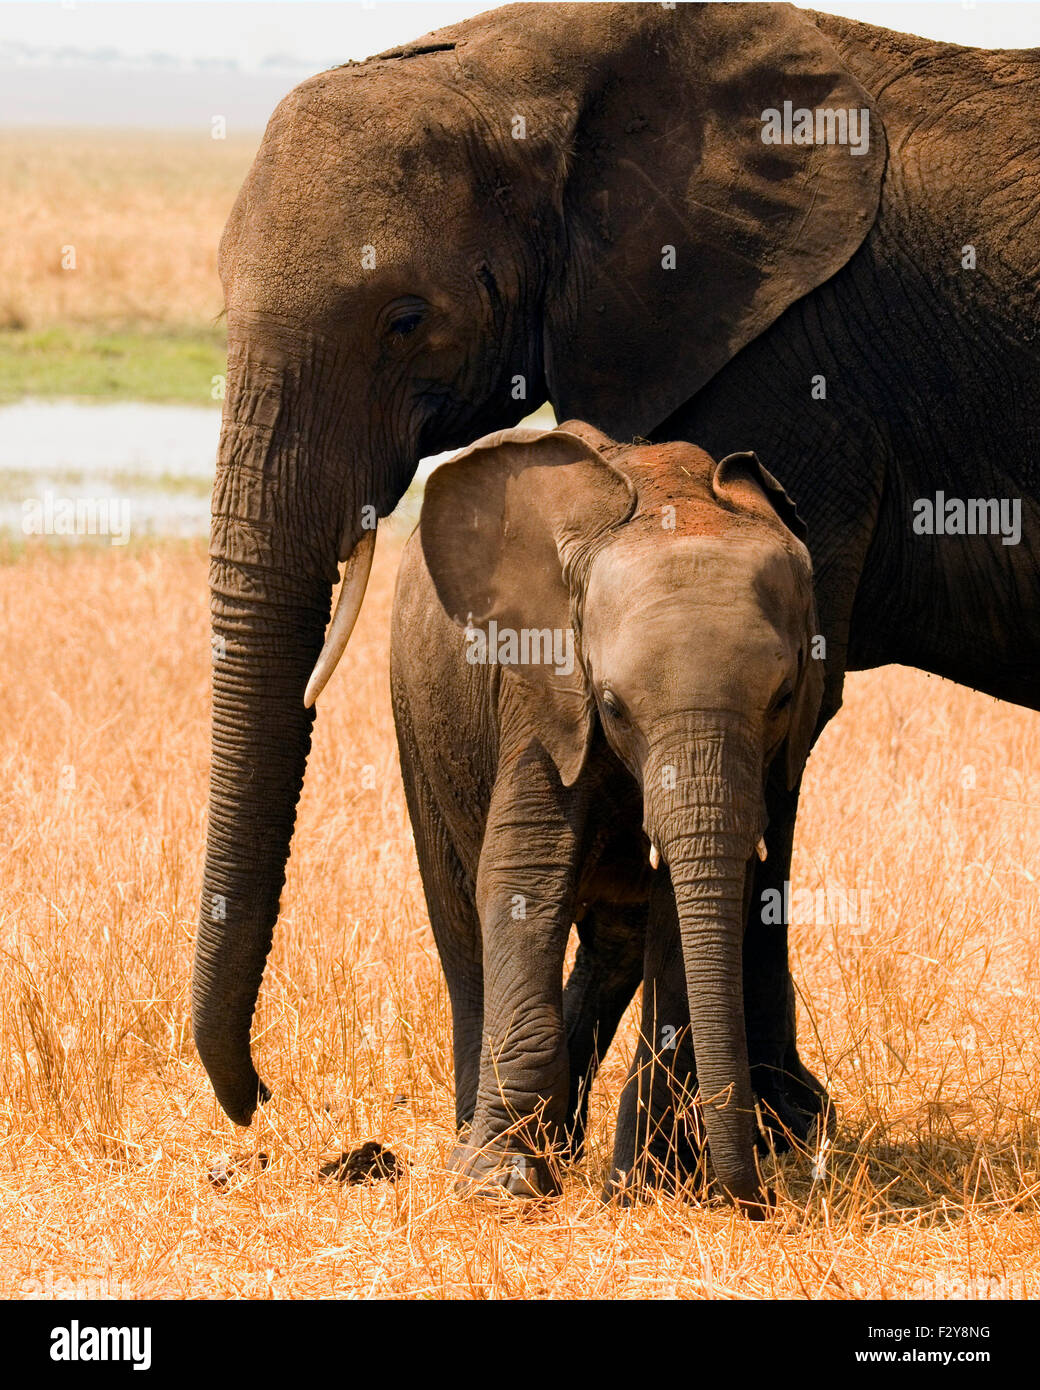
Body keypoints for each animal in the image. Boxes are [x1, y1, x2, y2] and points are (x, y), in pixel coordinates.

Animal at [389, 421, 823, 1209]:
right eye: (614, 705)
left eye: (782, 699)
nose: (760, 1203)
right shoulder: (543, 695)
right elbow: (523, 878)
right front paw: (501, 1187)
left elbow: (684, 914)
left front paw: (648, 1188)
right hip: (417, 716)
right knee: (458, 916)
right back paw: (484, 1139)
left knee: (617, 943)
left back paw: (571, 1143)